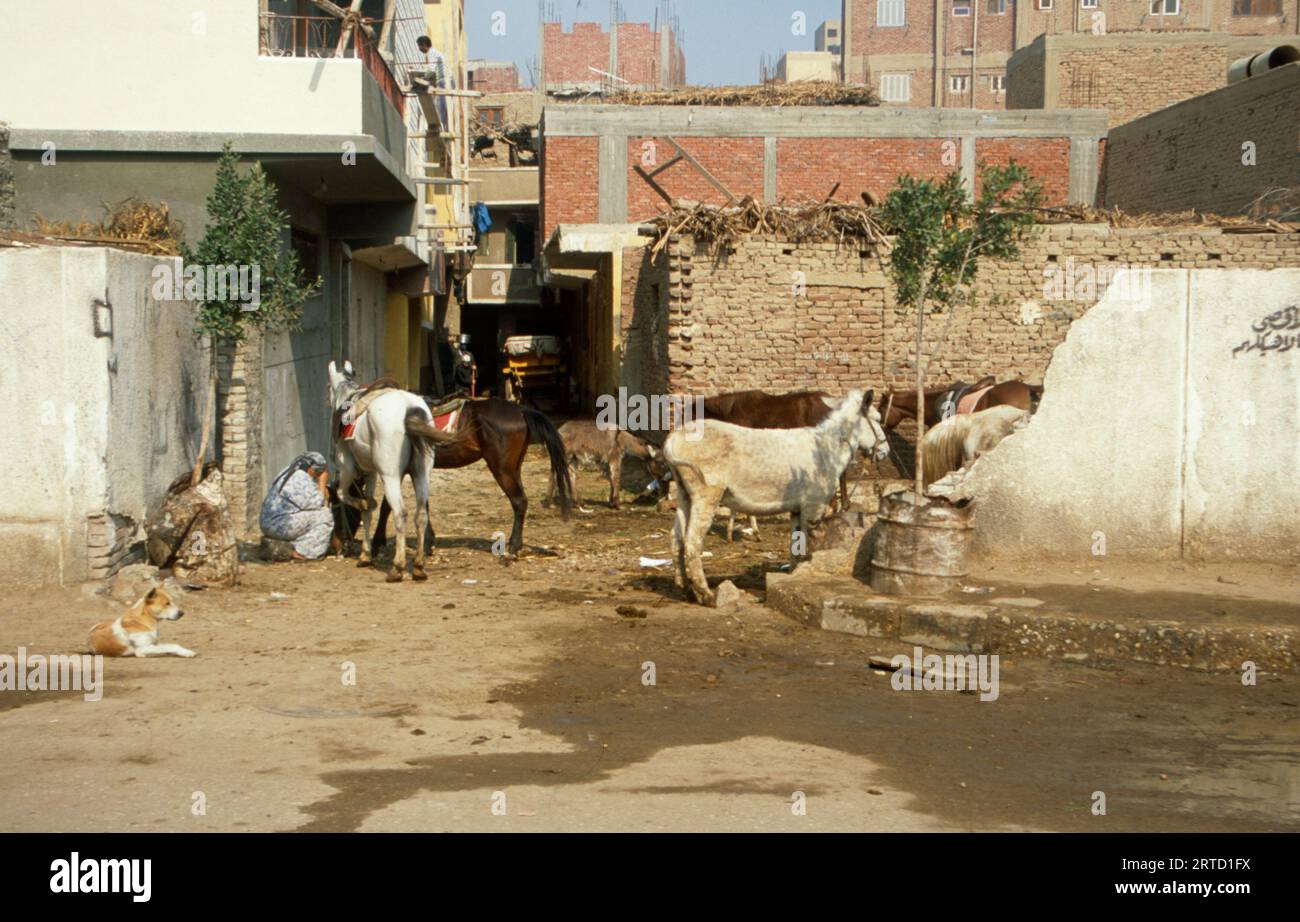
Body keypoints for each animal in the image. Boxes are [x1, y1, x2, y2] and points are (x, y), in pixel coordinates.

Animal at [327, 360, 462, 583]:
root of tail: (409, 410)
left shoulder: (348, 468)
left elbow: (346, 495)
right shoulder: (371, 472)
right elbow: (367, 512)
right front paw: (365, 555)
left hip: (389, 476)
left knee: (400, 513)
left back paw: (397, 568)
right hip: (421, 474)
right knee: (421, 515)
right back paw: (418, 566)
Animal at [366, 395, 573, 559]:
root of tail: (521, 410)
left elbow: (387, 506)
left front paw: (376, 544)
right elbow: (422, 504)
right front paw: (428, 543)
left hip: (501, 469)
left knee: (519, 501)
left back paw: (514, 547)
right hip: (514, 468)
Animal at [663, 389, 889, 607]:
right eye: (877, 419)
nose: (885, 451)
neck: (826, 448)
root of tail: (673, 441)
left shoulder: (797, 508)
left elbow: (796, 546)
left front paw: (794, 575)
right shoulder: (813, 506)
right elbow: (808, 543)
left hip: (684, 495)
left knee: (676, 538)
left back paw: (685, 589)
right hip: (706, 496)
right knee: (692, 542)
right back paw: (706, 595)